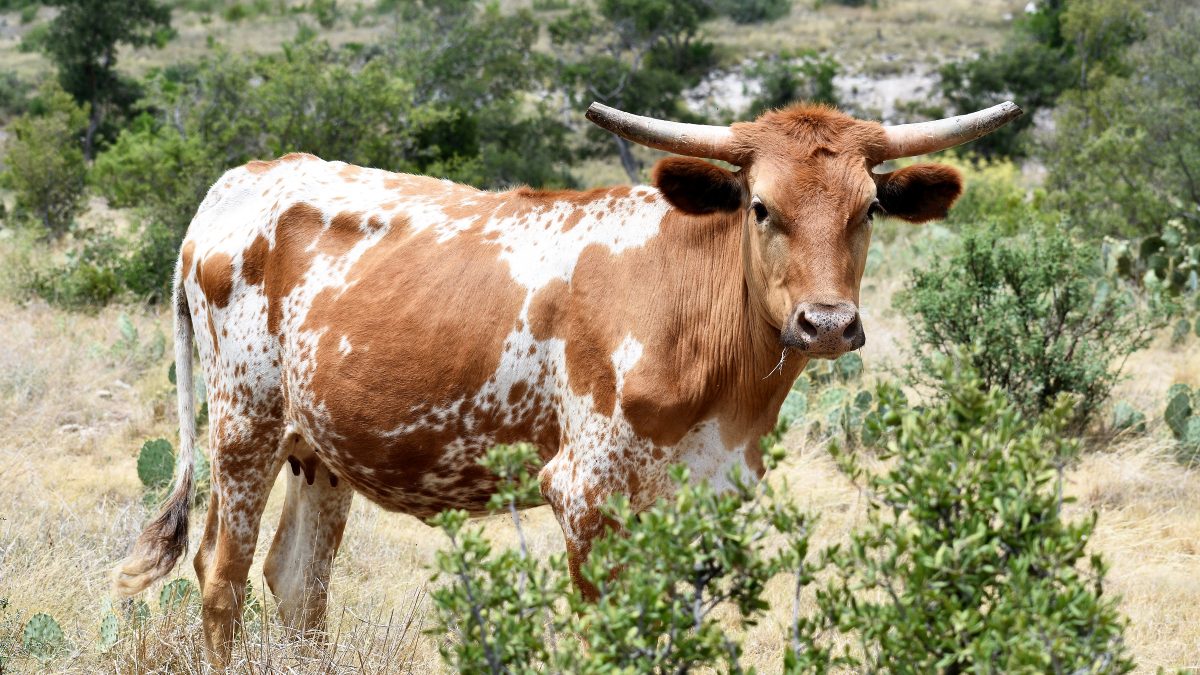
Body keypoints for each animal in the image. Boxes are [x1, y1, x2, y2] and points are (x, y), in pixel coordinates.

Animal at [112, 100, 1020, 666]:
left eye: (868, 209)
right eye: (761, 206)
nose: (826, 323)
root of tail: (237, 182)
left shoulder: (709, 495)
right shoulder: (585, 491)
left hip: (321, 448)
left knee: (298, 585)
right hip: (244, 424)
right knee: (221, 577)